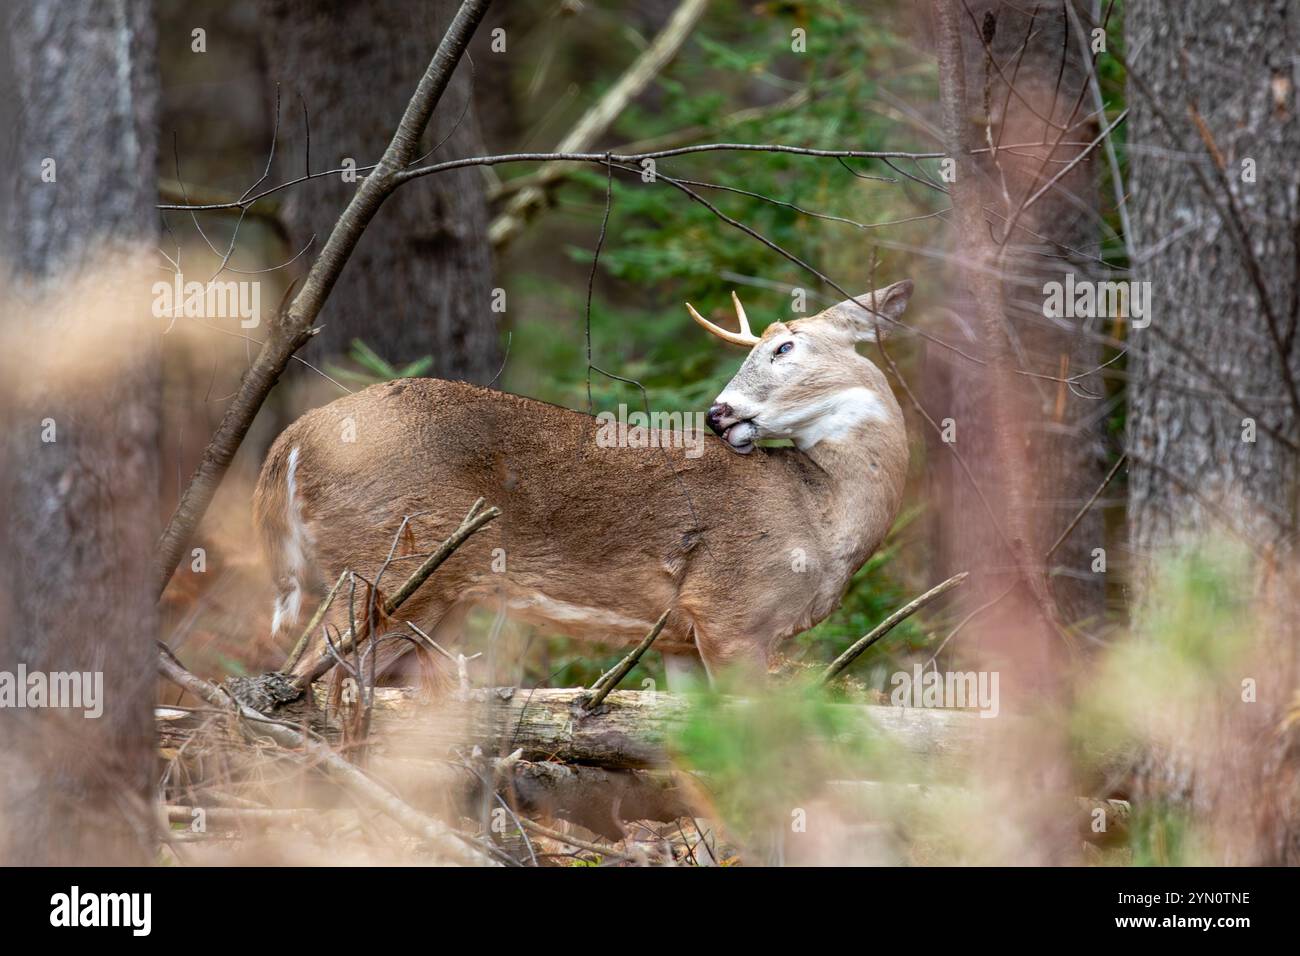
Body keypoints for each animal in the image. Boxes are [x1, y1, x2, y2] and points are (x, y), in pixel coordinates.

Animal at [252, 279, 913, 691]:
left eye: (785, 347)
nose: (717, 414)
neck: (821, 514)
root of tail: (290, 442)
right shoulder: (732, 610)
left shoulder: (677, 636)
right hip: (391, 565)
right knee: (316, 676)